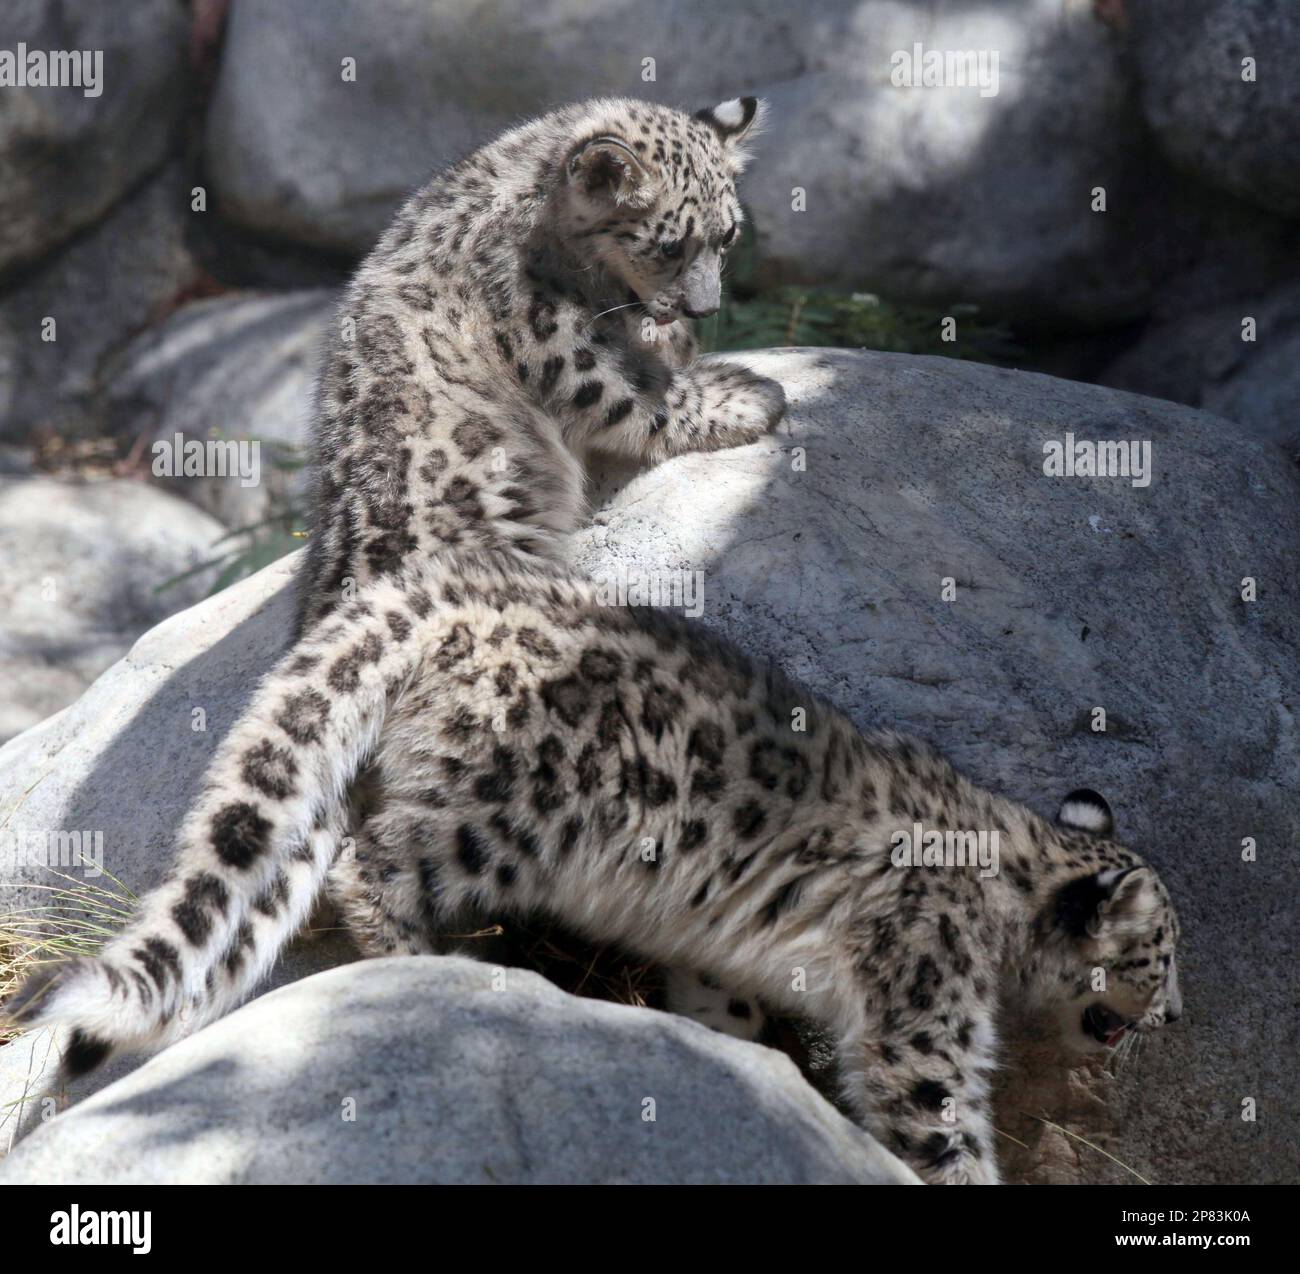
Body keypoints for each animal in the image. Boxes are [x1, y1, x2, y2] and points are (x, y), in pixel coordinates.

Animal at [7, 551, 1182, 1185]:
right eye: (1160, 958)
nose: (1171, 1020)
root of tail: (432, 591)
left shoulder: (723, 960)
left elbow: (725, 1009)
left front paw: (738, 1060)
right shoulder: (923, 1010)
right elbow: (940, 1123)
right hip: (506, 812)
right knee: (372, 863)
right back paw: (430, 956)